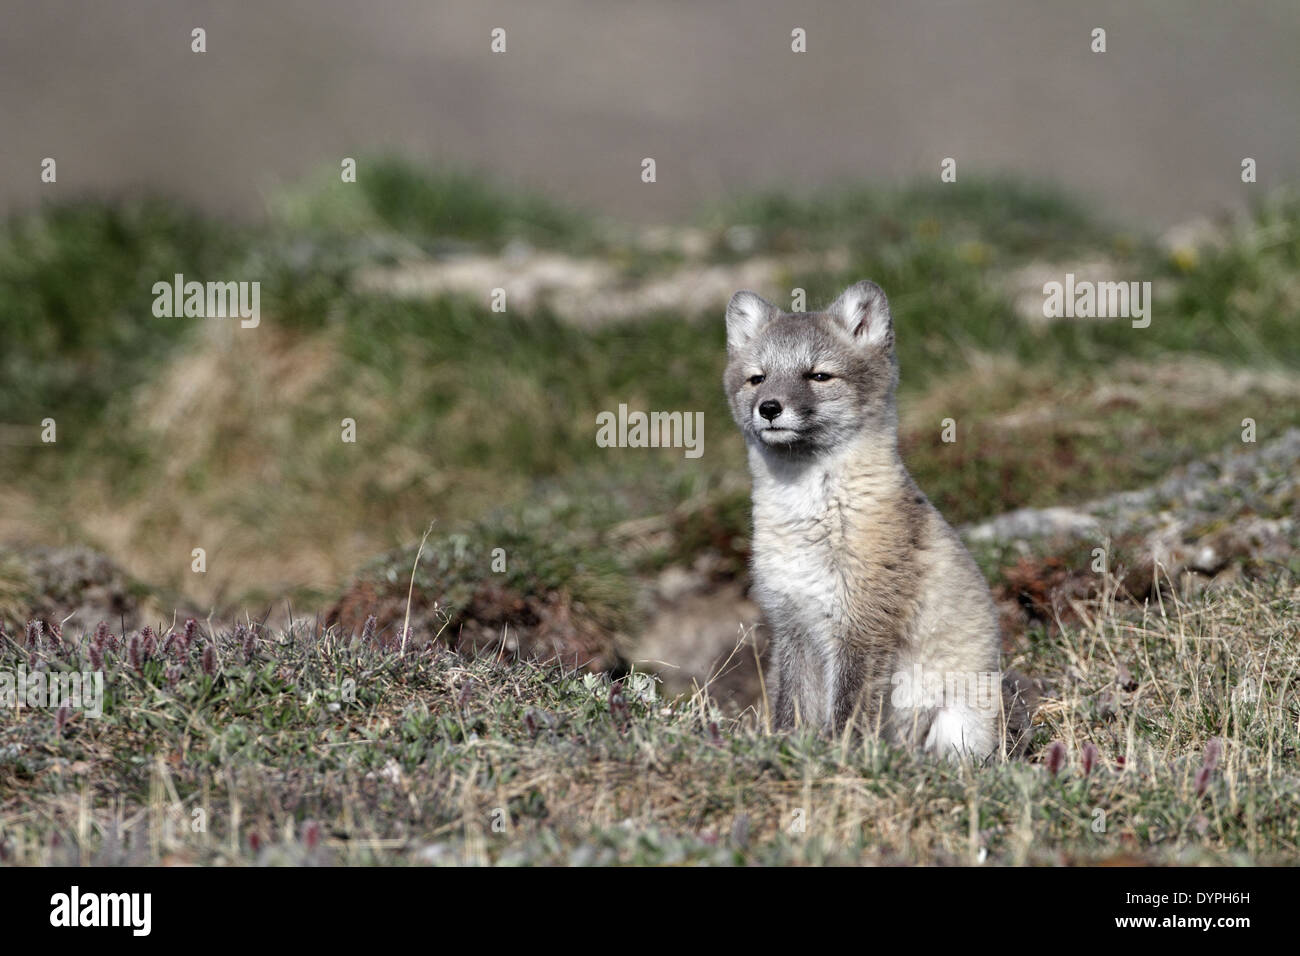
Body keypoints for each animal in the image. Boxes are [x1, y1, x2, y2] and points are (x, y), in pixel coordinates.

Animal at [724, 279, 1015, 759]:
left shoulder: (863, 627)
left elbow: (849, 712)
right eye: (757, 378)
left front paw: (840, 756)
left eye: (818, 376)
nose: (769, 407)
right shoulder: (791, 625)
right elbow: (791, 710)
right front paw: (787, 748)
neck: (810, 518)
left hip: (960, 721)